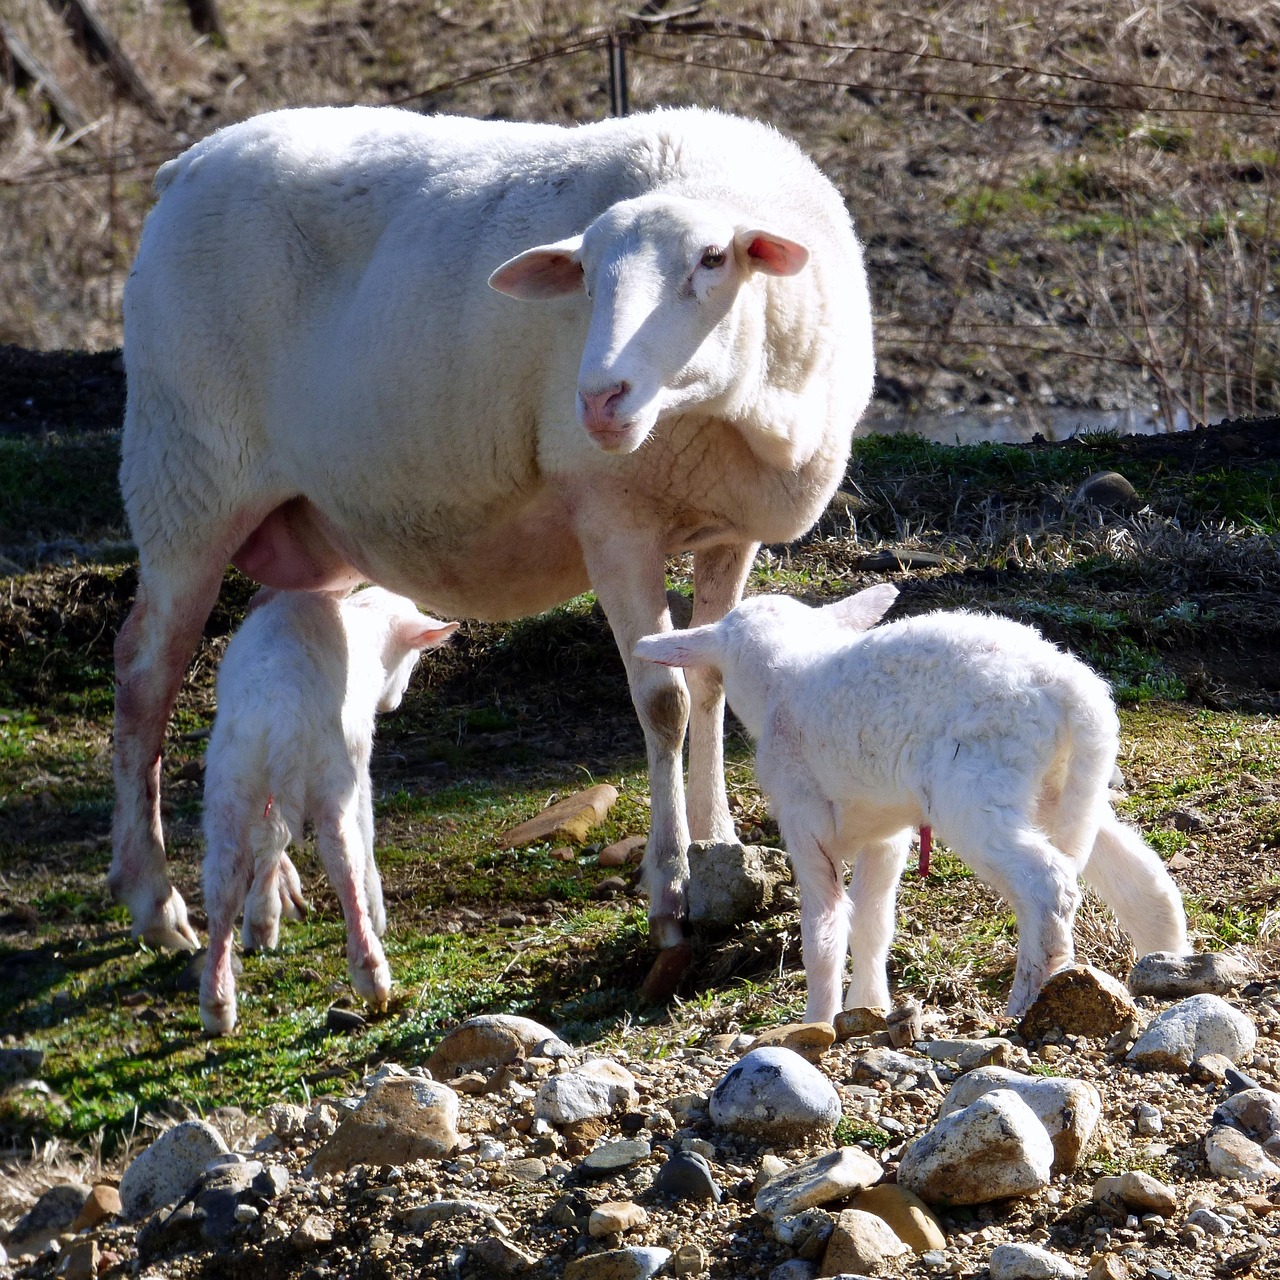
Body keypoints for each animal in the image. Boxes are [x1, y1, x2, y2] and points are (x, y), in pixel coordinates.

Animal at [110, 105, 875, 960]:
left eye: (712, 259)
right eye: (585, 277)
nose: (599, 397)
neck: (733, 414)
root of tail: (189, 163)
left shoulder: (726, 527)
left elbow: (709, 681)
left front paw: (723, 847)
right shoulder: (614, 521)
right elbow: (664, 703)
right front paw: (672, 885)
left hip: (297, 516)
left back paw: (272, 888)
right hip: (184, 475)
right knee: (143, 678)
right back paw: (154, 900)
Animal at [199, 586, 456, 1035]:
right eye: (411, 658)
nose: (394, 702)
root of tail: (279, 705)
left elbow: (270, 840)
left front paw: (262, 921)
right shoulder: (357, 754)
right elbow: (365, 826)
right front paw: (377, 909)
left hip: (231, 774)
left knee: (224, 876)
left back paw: (217, 1002)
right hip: (328, 768)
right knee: (342, 855)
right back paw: (371, 970)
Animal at [634, 584, 1188, 1022]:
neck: (784, 678)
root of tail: (1073, 687)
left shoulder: (803, 819)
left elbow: (824, 931)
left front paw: (817, 1022)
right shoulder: (887, 833)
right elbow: (872, 923)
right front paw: (867, 1007)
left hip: (976, 784)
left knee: (1047, 883)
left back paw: (1025, 1000)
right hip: (1059, 784)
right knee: (1145, 881)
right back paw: (1165, 967)